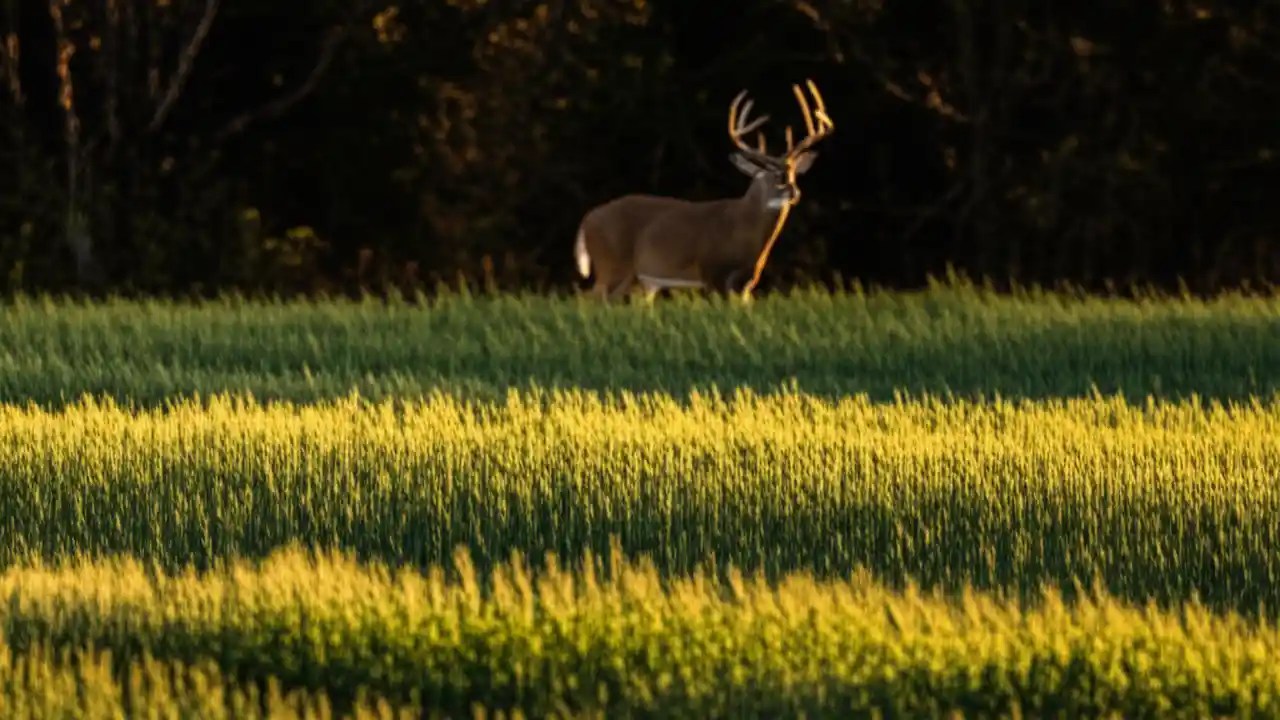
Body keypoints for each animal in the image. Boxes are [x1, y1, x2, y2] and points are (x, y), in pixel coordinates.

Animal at [573, 79, 835, 302]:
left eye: (793, 174)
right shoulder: (712, 272)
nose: (793, 192)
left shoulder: (745, 283)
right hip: (612, 264)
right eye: (770, 174)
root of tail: (587, 220)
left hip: (635, 278)